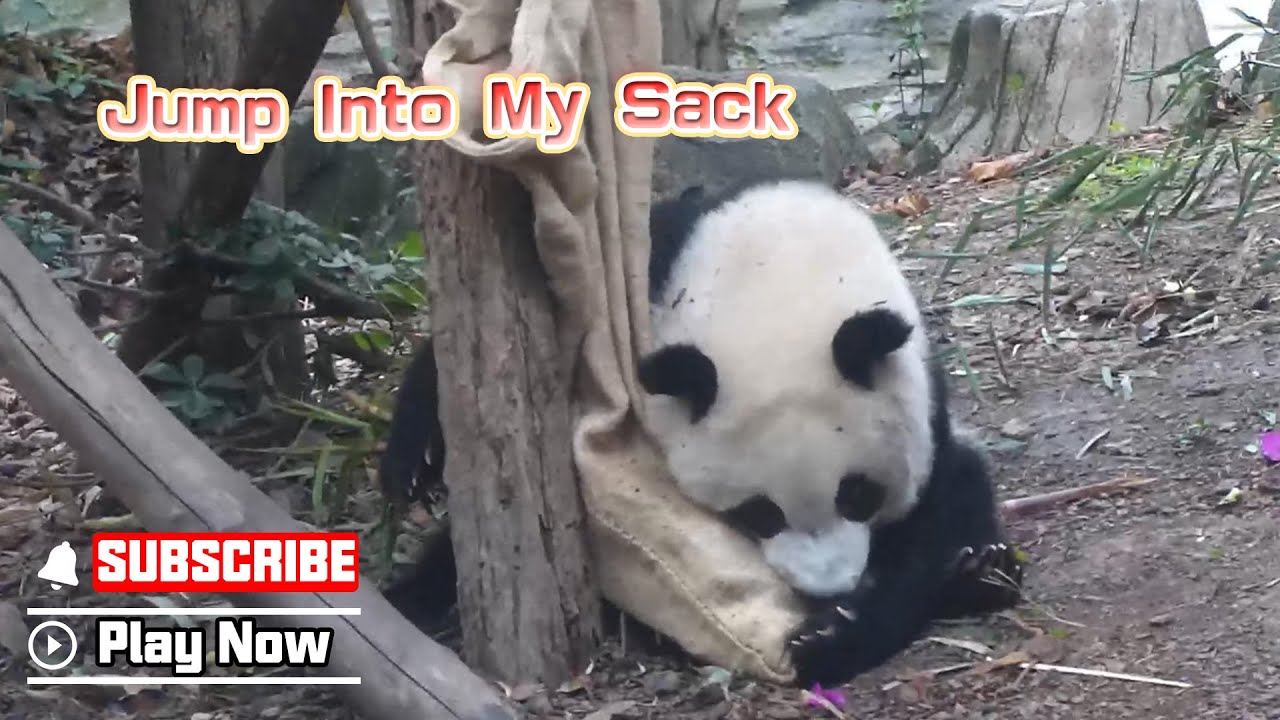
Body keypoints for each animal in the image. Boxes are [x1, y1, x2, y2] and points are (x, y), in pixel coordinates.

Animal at [379, 178, 1023, 688]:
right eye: (760, 513)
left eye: (858, 494)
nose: (829, 590)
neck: (780, 282)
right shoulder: (643, 283)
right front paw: (414, 459)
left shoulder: (921, 399)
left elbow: (935, 516)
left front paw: (831, 637)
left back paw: (981, 573)